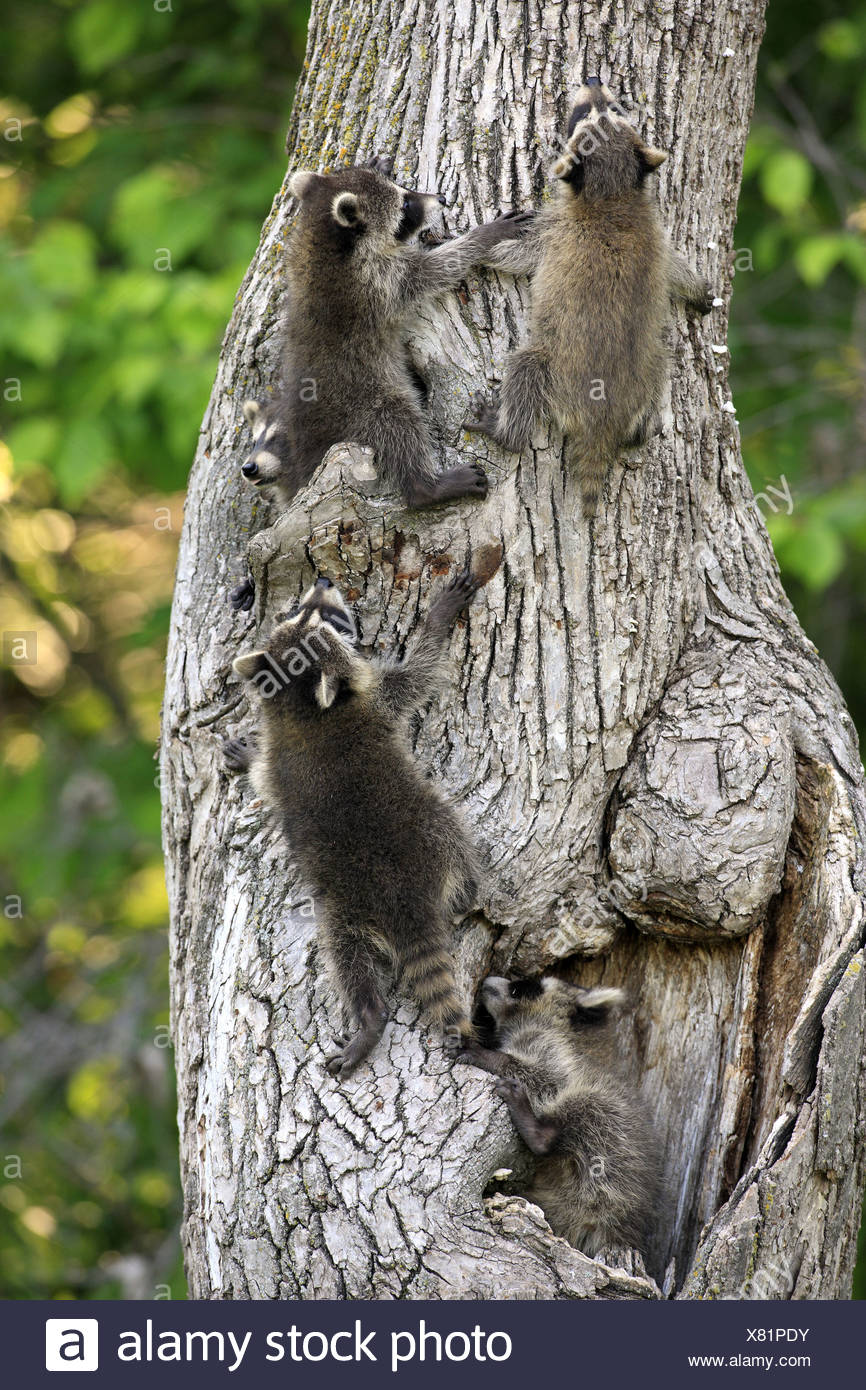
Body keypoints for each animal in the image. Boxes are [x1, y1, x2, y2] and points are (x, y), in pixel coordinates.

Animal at [224, 569, 484, 1077]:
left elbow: (265, 780)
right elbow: (420, 670)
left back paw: (366, 1011)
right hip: (431, 833)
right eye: (325, 620)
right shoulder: (379, 701)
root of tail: (407, 904)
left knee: (349, 961)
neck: (301, 707)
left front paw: (247, 761)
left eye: (305, 612)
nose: (324, 581)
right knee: (455, 840)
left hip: (345, 915)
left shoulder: (280, 756)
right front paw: (439, 618)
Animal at [463, 974, 661, 1259]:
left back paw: (540, 1133)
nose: (489, 980)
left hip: (618, 1144)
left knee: (592, 1107)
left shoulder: (556, 1053)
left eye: (522, 988)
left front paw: (492, 1056)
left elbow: (543, 1078)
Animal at [468, 77, 714, 518]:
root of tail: (604, 419)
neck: (613, 190)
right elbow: (674, 268)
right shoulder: (655, 235)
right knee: (661, 365)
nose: (594, 80)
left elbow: (513, 255)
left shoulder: (555, 231)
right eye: (606, 109)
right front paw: (697, 286)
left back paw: (504, 430)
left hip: (552, 368)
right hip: (650, 368)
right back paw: (644, 428)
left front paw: (471, 246)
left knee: (525, 369)